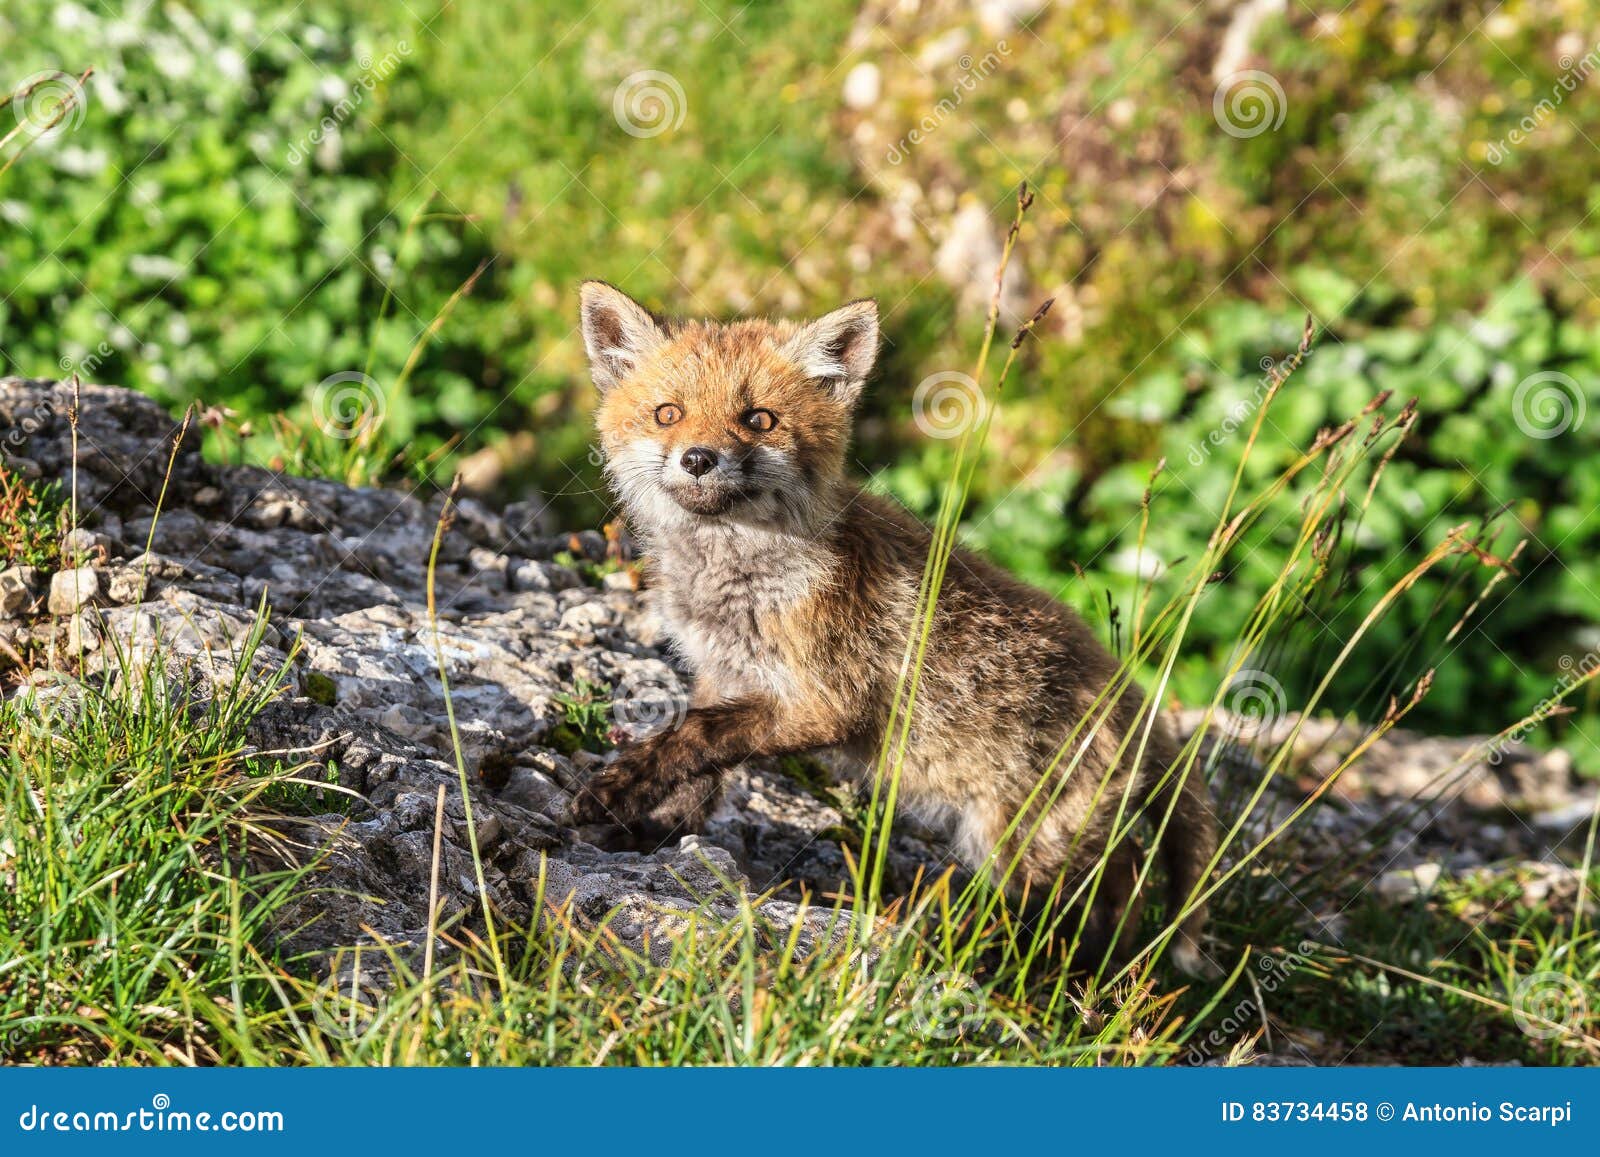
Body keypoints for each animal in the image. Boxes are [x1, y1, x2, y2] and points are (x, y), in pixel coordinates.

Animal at [568, 281, 1219, 975]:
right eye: (668, 413)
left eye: (759, 420)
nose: (697, 458)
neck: (743, 581)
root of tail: (1129, 689)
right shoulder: (724, 674)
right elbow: (698, 770)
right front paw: (652, 830)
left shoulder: (826, 705)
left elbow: (692, 737)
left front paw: (613, 791)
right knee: (1125, 874)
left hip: (1019, 844)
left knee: (1115, 887)